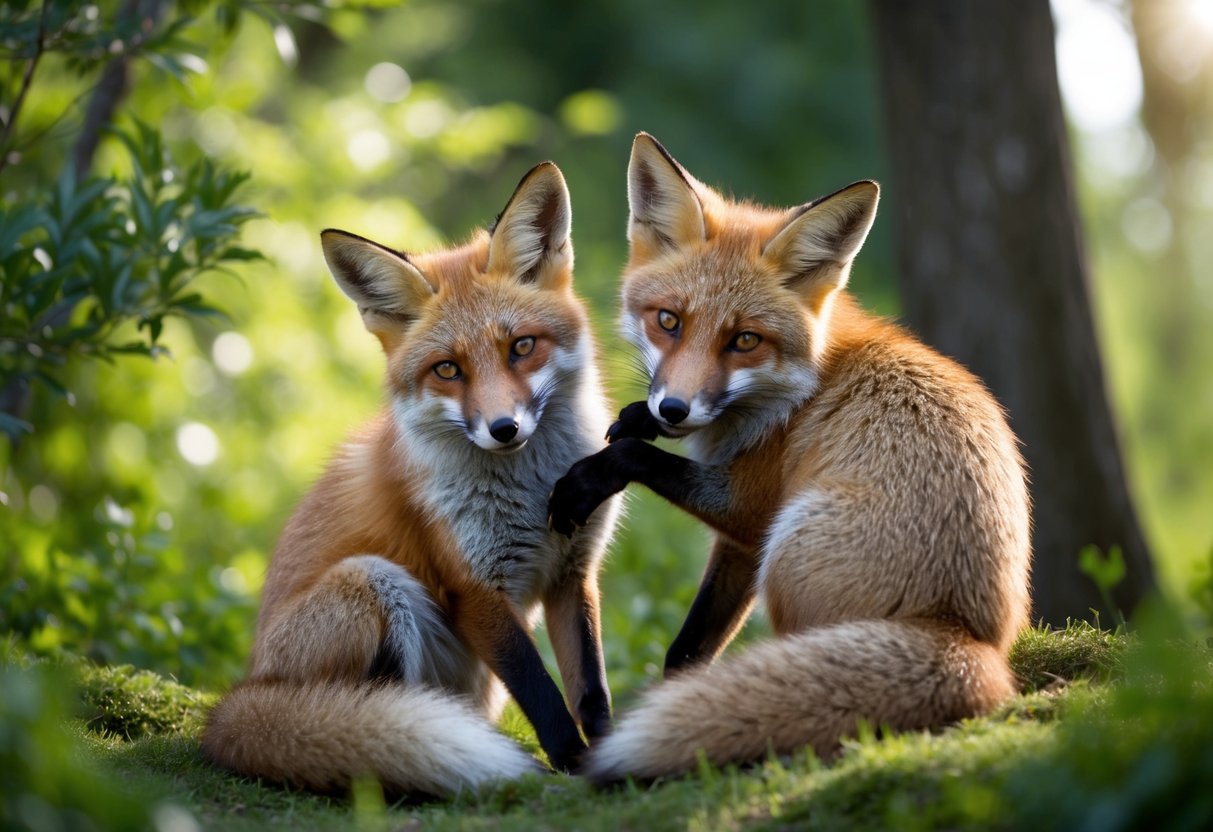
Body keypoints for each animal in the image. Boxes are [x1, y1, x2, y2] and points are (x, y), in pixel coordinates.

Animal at [201, 162, 621, 797]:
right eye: (448, 369)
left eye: (521, 346)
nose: (503, 428)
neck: (534, 493)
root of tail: (242, 692)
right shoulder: (474, 588)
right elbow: (543, 694)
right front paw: (572, 766)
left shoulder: (574, 573)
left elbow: (590, 691)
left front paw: (611, 755)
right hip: (371, 585)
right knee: (369, 712)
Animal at [547, 133, 1032, 781]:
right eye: (668, 321)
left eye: (745, 340)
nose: (674, 409)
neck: (801, 389)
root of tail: (960, 634)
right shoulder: (738, 549)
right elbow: (687, 651)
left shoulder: (751, 510)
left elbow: (635, 458)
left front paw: (593, 473)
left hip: (789, 543)